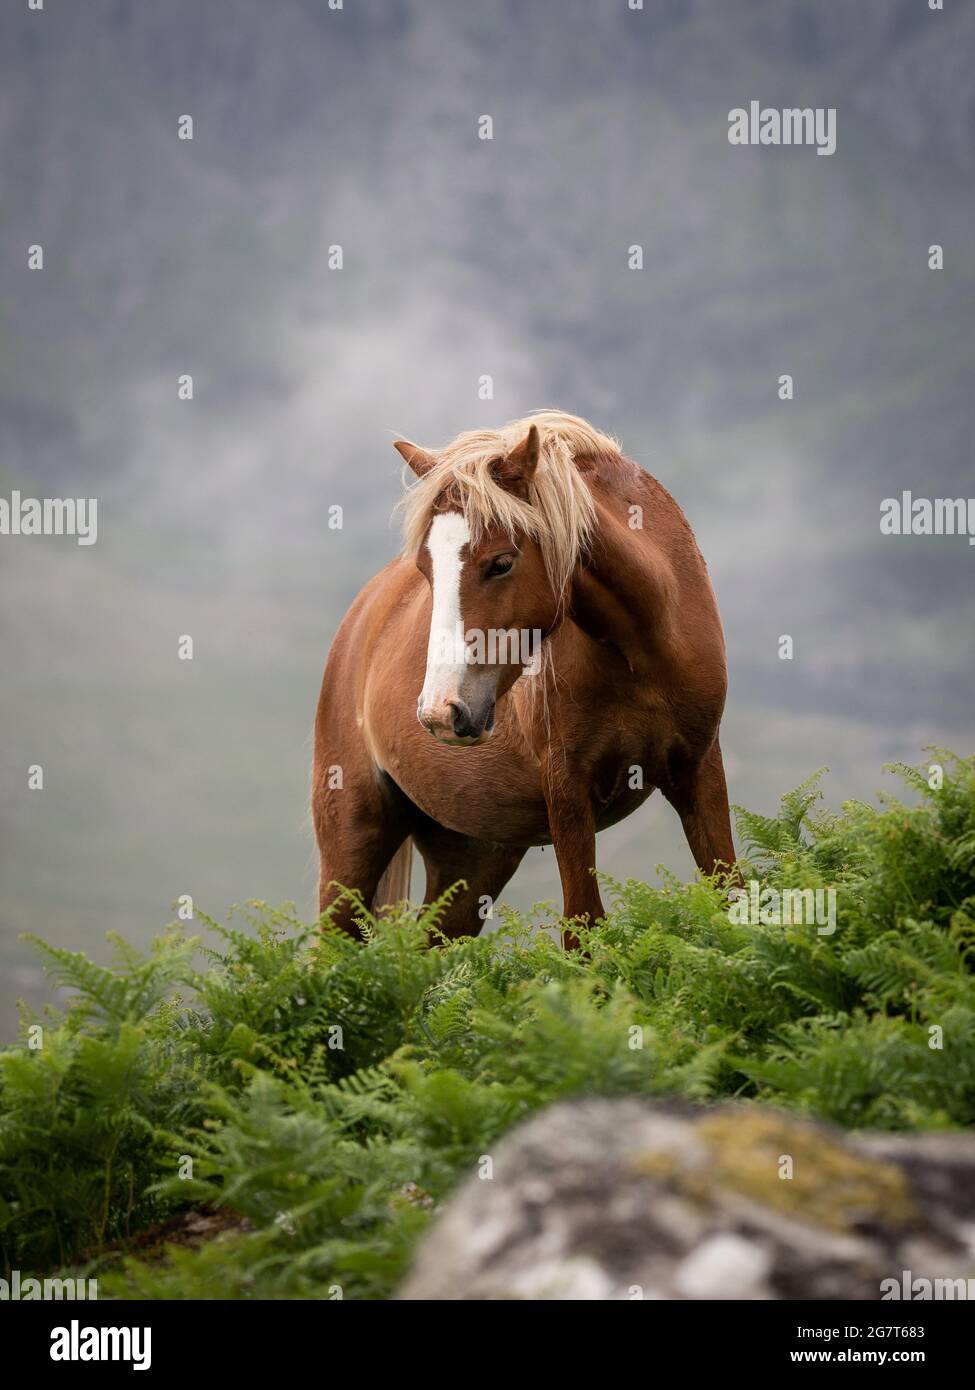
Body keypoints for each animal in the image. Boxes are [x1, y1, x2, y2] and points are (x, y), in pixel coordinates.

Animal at [312, 410, 736, 947]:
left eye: (501, 563)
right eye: (426, 568)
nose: (441, 712)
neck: (642, 647)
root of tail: (361, 618)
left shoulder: (700, 771)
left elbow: (732, 897)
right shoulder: (568, 792)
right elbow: (583, 929)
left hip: (472, 858)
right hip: (352, 844)